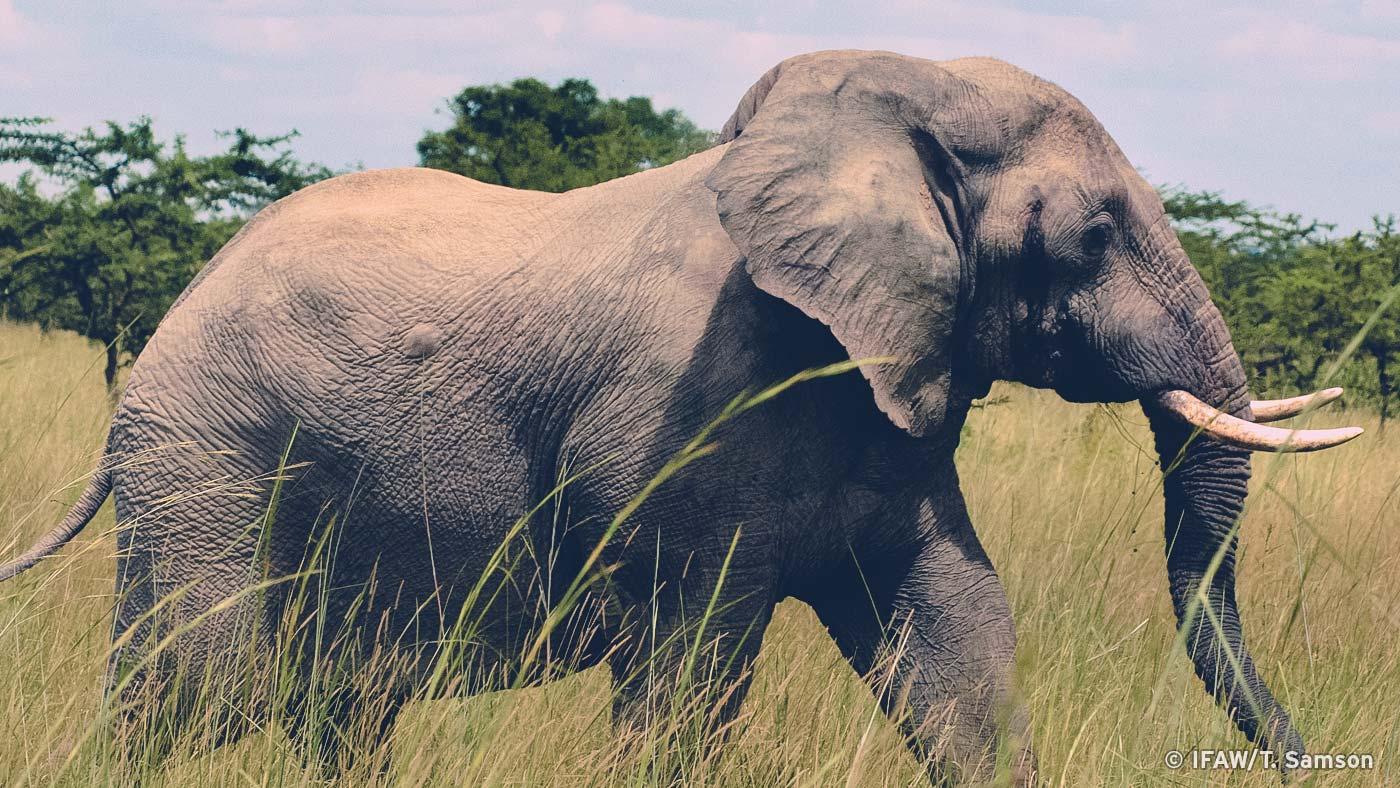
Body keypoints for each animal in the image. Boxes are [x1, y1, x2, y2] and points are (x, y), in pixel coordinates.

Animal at [0, 50, 1363, 784]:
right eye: (1090, 234)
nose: (1306, 755)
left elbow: (956, 634)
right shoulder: (680, 415)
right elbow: (694, 663)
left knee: (338, 702)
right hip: (209, 454)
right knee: (199, 687)